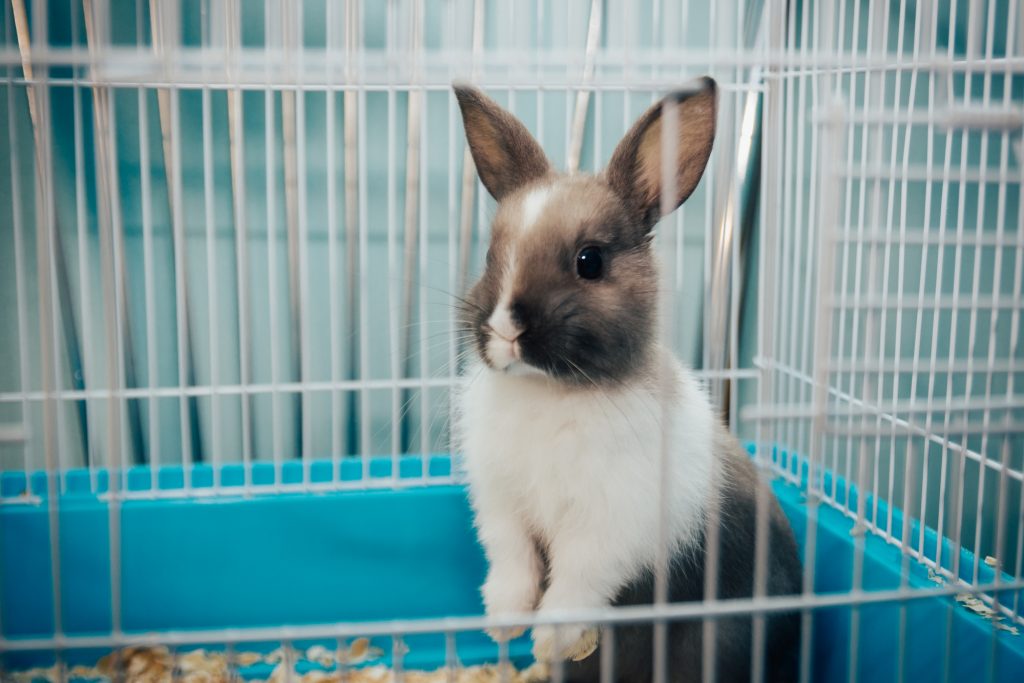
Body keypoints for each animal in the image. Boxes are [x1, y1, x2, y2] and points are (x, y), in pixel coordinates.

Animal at [451, 78, 802, 683]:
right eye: (493, 253)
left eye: (589, 261)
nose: (505, 329)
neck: (551, 390)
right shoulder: (504, 507)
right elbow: (513, 562)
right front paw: (503, 624)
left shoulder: (609, 527)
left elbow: (577, 581)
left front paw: (548, 639)